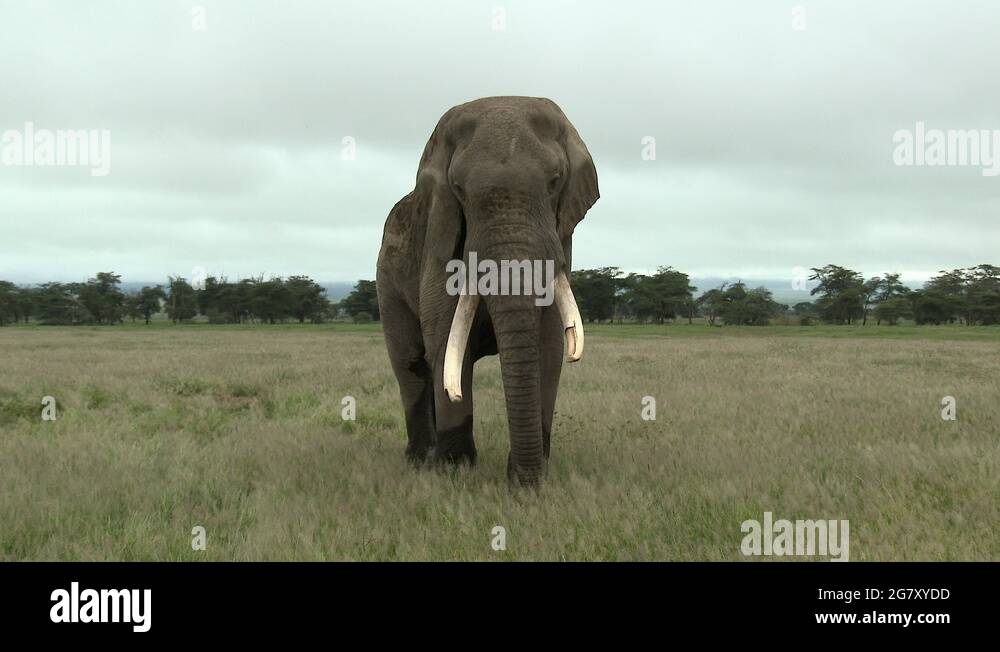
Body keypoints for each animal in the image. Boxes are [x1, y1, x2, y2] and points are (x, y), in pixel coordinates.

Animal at [376, 96, 599, 486]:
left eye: (555, 181)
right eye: (459, 190)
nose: (521, 484)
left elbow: (550, 343)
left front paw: (532, 477)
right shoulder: (440, 232)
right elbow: (444, 336)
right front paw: (455, 470)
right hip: (387, 282)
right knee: (412, 366)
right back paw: (421, 460)